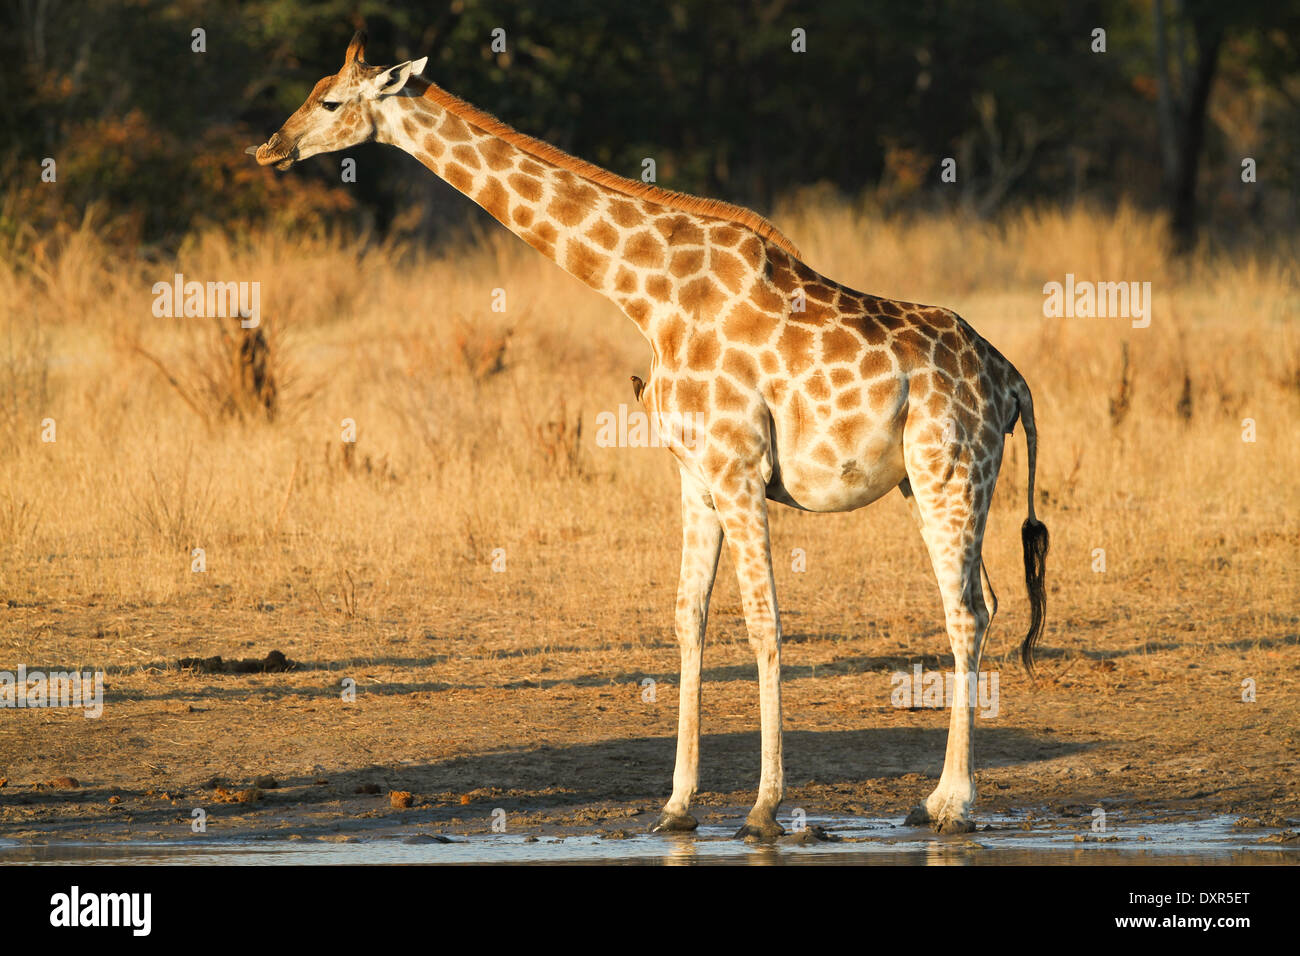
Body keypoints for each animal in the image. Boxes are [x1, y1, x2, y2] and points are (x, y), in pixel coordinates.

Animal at [250, 32, 1050, 837]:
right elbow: (688, 619)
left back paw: (952, 803)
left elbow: (764, 622)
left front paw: (763, 808)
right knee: (975, 606)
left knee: (965, 611)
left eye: (330, 101)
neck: (650, 296)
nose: (271, 148)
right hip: (925, 482)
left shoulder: (739, 469)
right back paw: (936, 801)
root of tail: (1011, 378)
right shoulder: (696, 476)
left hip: (952, 471)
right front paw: (675, 805)